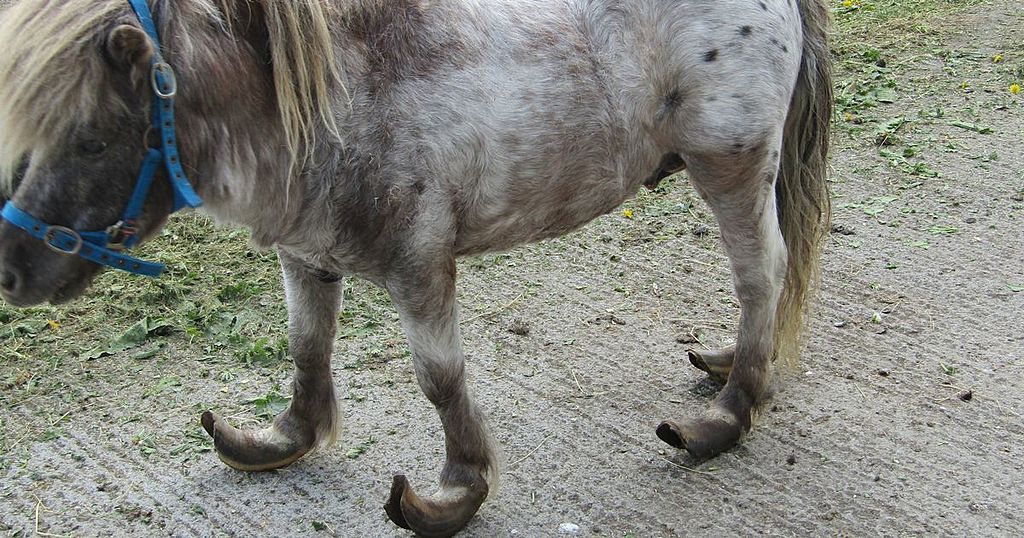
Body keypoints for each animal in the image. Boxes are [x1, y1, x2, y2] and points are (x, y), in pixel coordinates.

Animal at [0, 0, 832, 535]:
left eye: (90, 139)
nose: (11, 273)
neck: (345, 95)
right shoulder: (306, 256)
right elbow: (307, 349)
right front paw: (287, 437)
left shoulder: (420, 269)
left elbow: (439, 382)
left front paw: (456, 490)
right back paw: (732, 366)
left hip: (729, 164)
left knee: (761, 275)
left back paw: (726, 413)